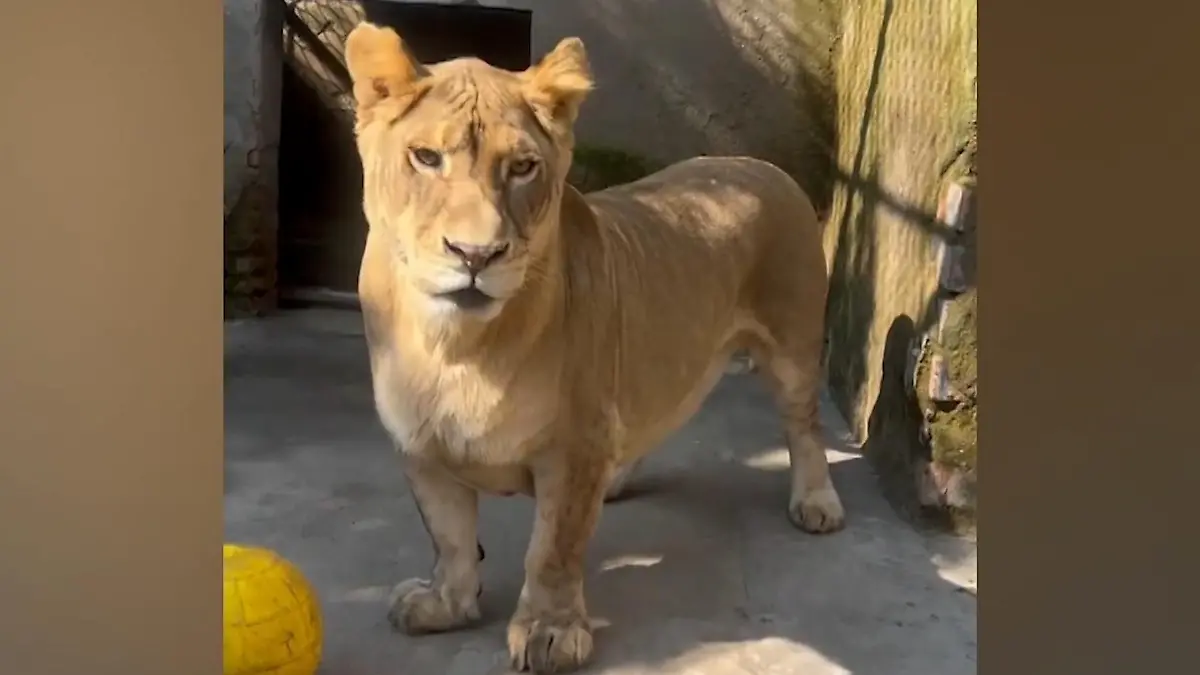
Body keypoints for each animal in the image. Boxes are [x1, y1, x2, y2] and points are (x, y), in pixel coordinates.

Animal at [344, 22, 846, 674]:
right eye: (426, 158)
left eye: (523, 167)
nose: (477, 255)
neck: (452, 345)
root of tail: (759, 163)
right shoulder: (419, 445)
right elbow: (449, 535)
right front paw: (445, 604)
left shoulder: (574, 446)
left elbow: (551, 548)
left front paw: (550, 631)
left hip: (792, 345)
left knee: (804, 425)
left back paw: (817, 502)